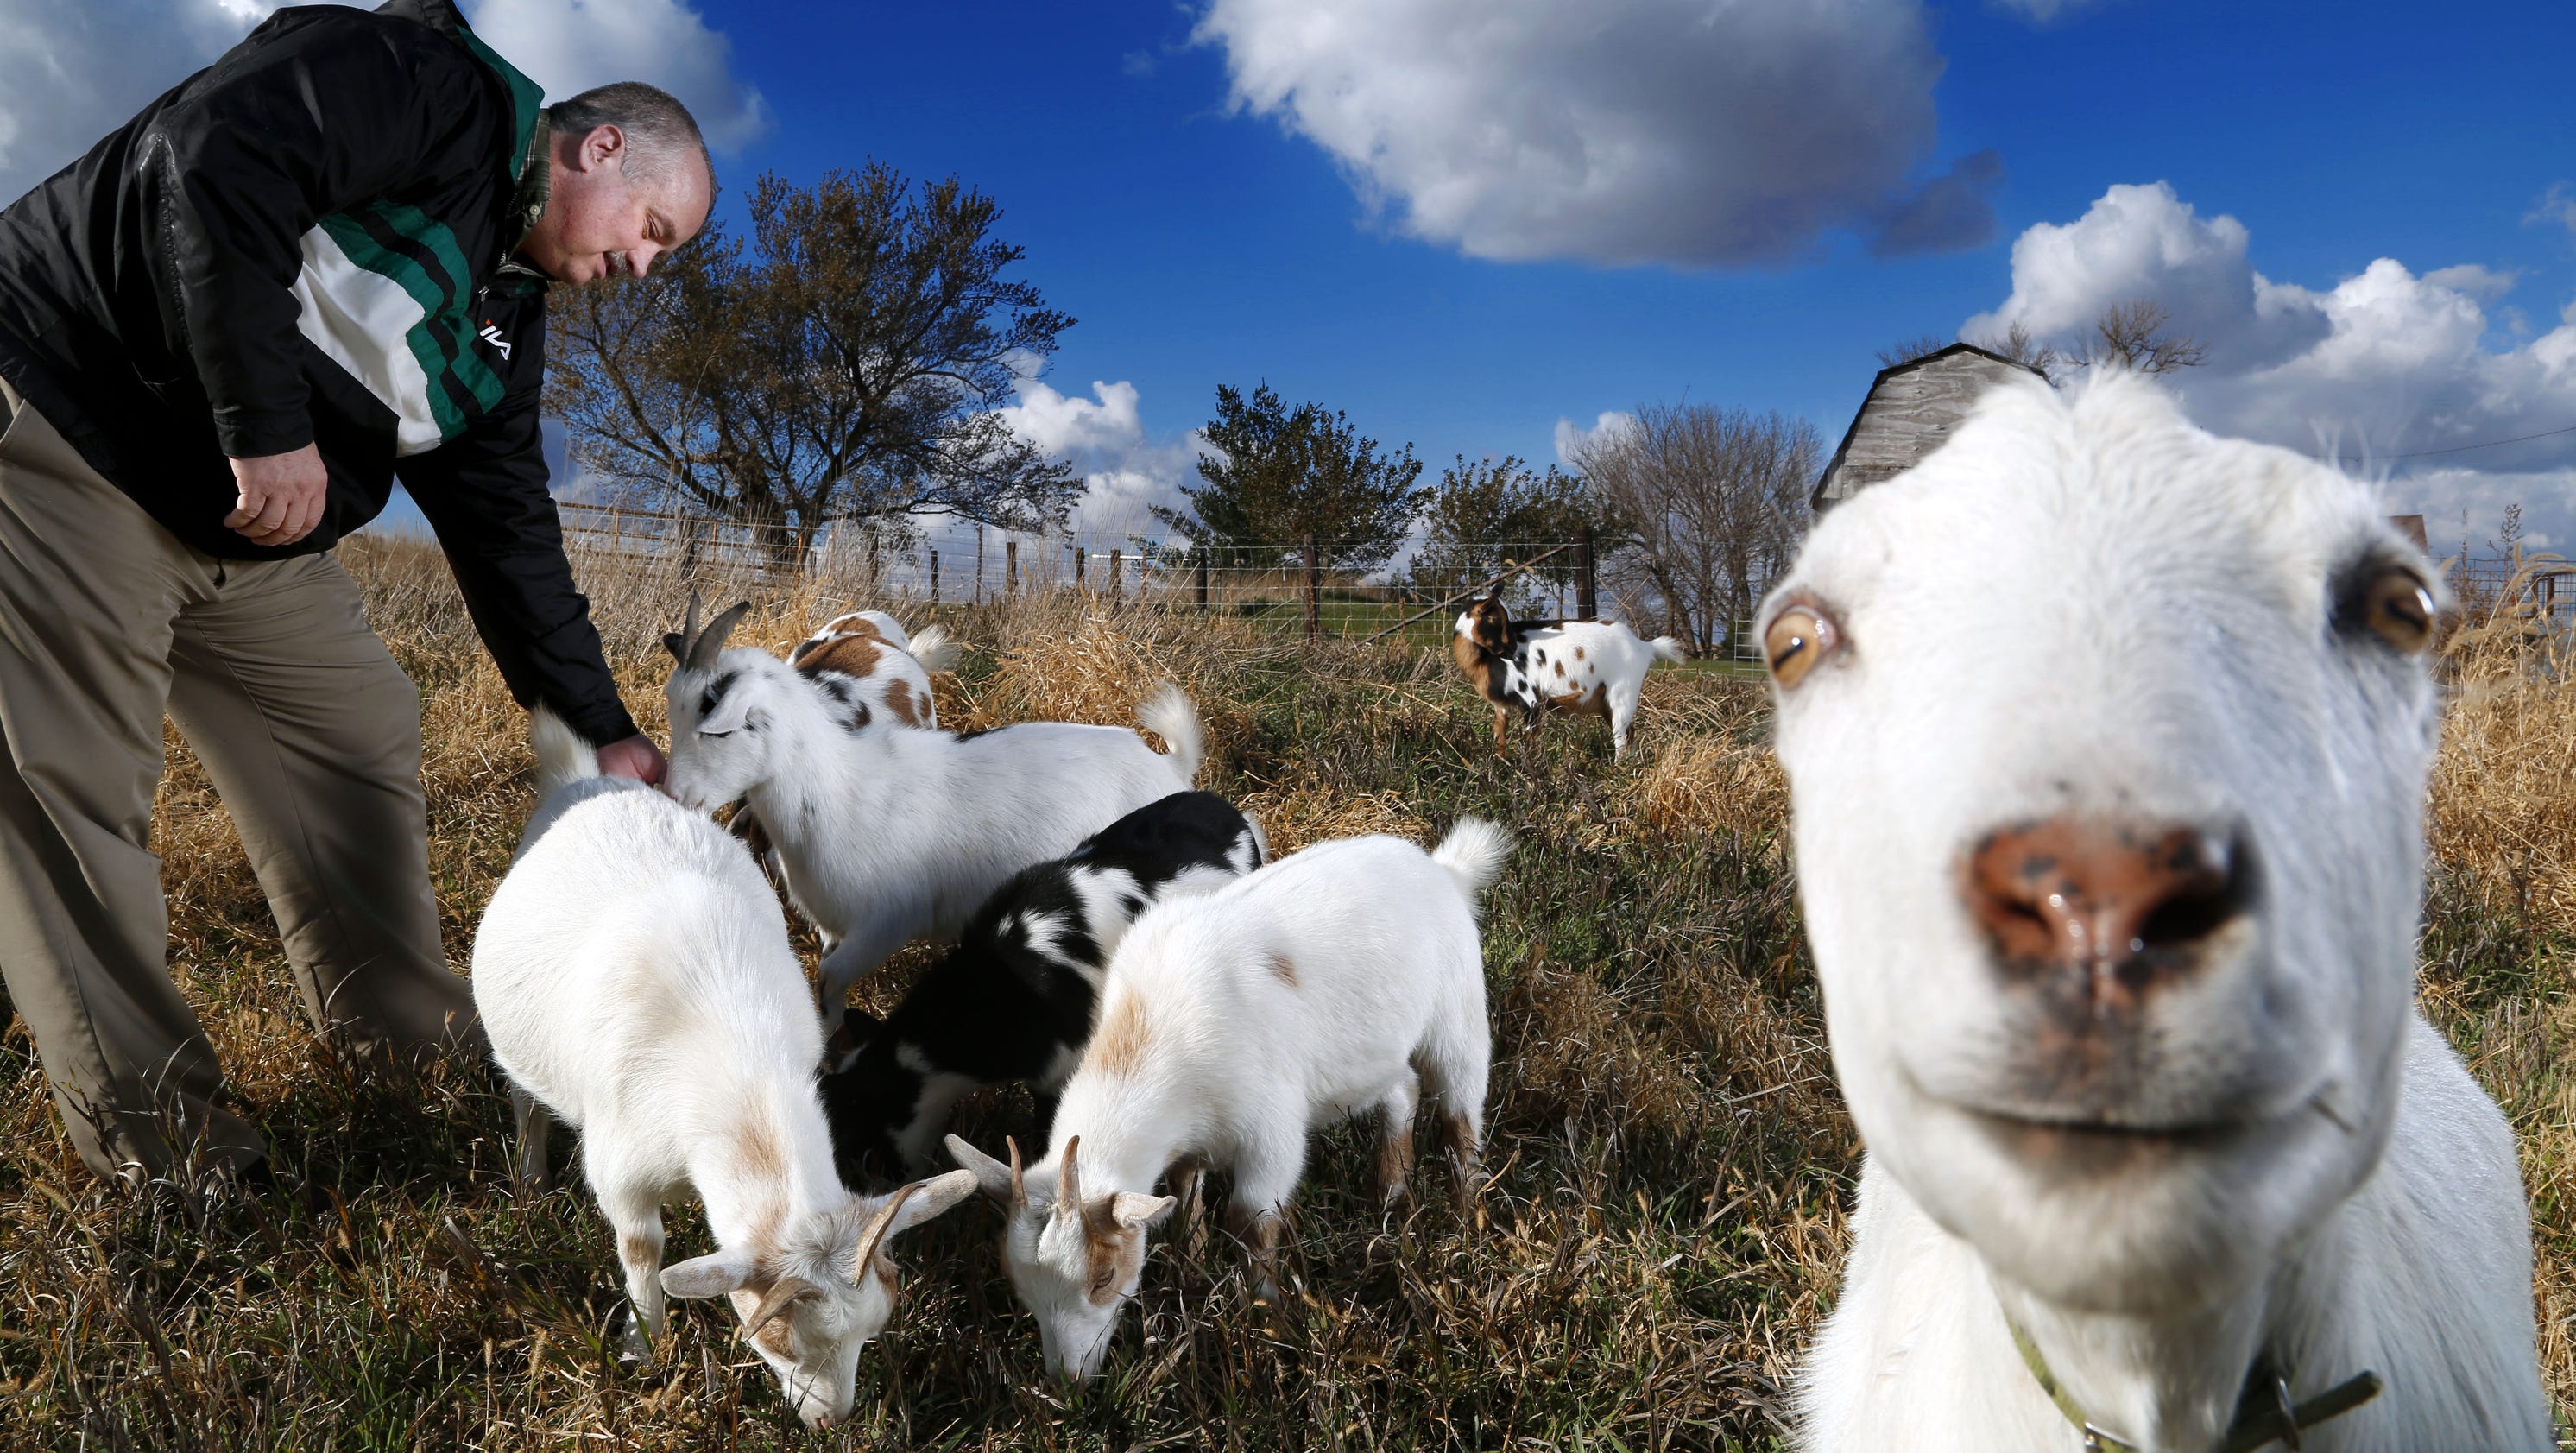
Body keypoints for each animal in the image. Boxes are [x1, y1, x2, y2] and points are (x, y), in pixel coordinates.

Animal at [471, 708, 977, 1427]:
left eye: (871, 1331)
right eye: (776, 1341)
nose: (832, 1421)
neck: (737, 1065)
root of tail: (583, 777)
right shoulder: (621, 1173)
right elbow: (643, 1251)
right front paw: (645, 1345)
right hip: (515, 1044)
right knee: (525, 1101)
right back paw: (531, 1181)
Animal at [660, 599, 1206, 1018]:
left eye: (719, 726)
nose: (675, 795)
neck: (841, 786)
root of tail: (1169, 767)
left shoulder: (888, 920)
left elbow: (831, 978)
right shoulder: (834, 923)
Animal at [947, 818, 1508, 1381]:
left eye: (1103, 1277)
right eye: (1019, 1285)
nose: (1069, 1381)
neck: (1151, 1026)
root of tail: (1443, 869)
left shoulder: (1271, 1137)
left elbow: (1251, 1222)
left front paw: (1267, 1321)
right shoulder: (1191, 1140)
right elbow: (1184, 1192)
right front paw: (1195, 1271)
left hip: (1457, 1012)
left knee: (1460, 1114)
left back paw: (1468, 1222)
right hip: (1370, 1059)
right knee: (1402, 1091)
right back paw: (1391, 1196)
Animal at [1451, 595, 1685, 759]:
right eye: (1493, 618)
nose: (1512, 648)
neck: (1485, 661)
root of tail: (1645, 646)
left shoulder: (1532, 702)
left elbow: (1528, 742)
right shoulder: (1501, 708)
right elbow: (1500, 741)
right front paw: (1501, 767)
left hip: (1623, 696)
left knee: (1621, 738)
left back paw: (1619, 770)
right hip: (1606, 703)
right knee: (1631, 735)